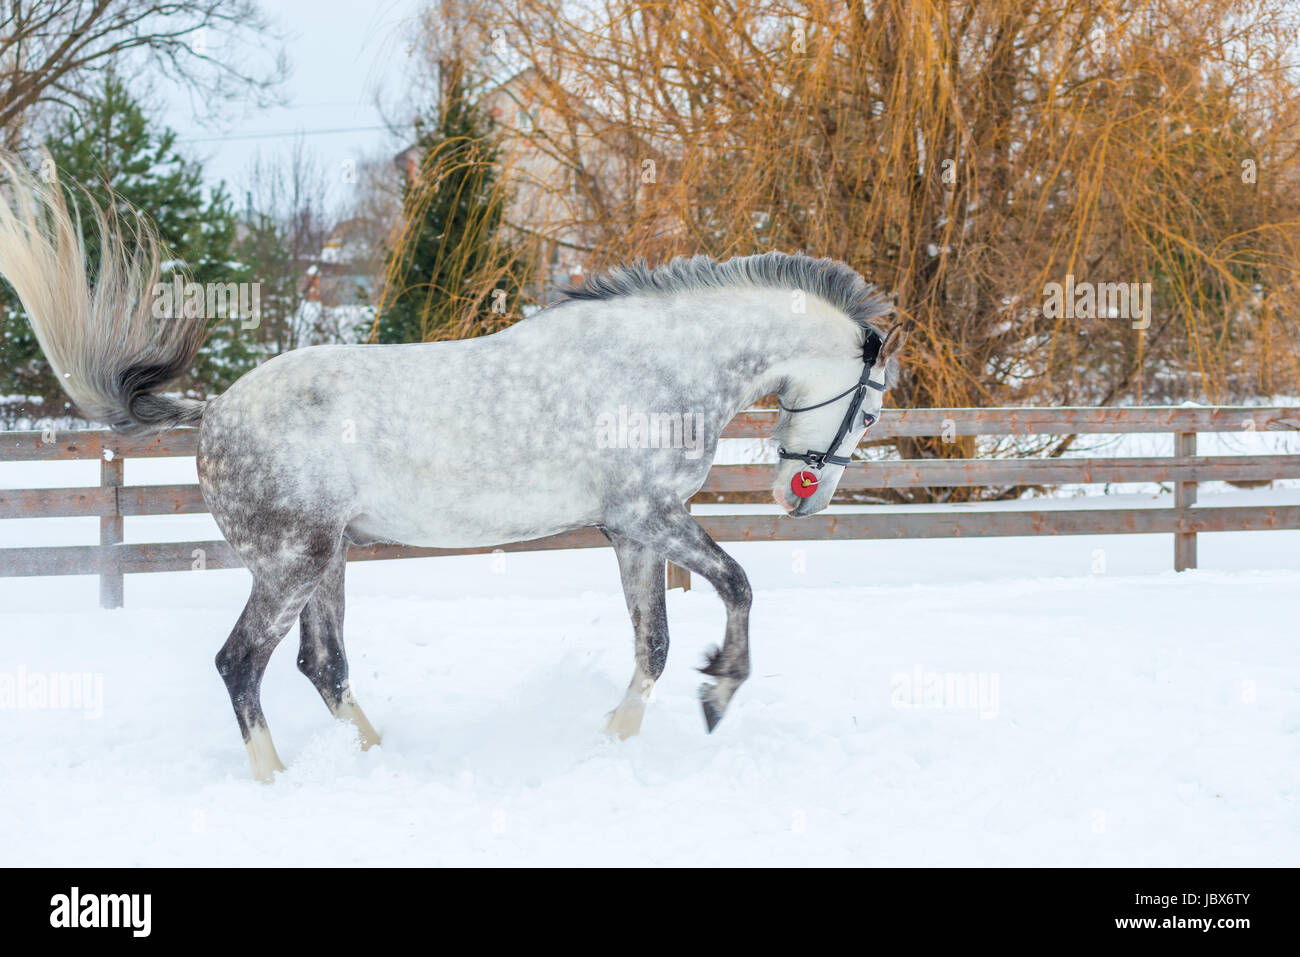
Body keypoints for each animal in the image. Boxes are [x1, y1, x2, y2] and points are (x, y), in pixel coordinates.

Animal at [0, 154, 907, 782]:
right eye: (871, 407)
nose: (804, 497)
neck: (660, 363)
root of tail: (215, 410)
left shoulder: (631, 530)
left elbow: (653, 640)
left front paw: (618, 734)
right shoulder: (652, 516)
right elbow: (739, 586)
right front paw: (717, 694)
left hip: (327, 559)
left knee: (320, 666)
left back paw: (378, 757)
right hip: (291, 562)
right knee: (241, 663)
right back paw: (276, 779)